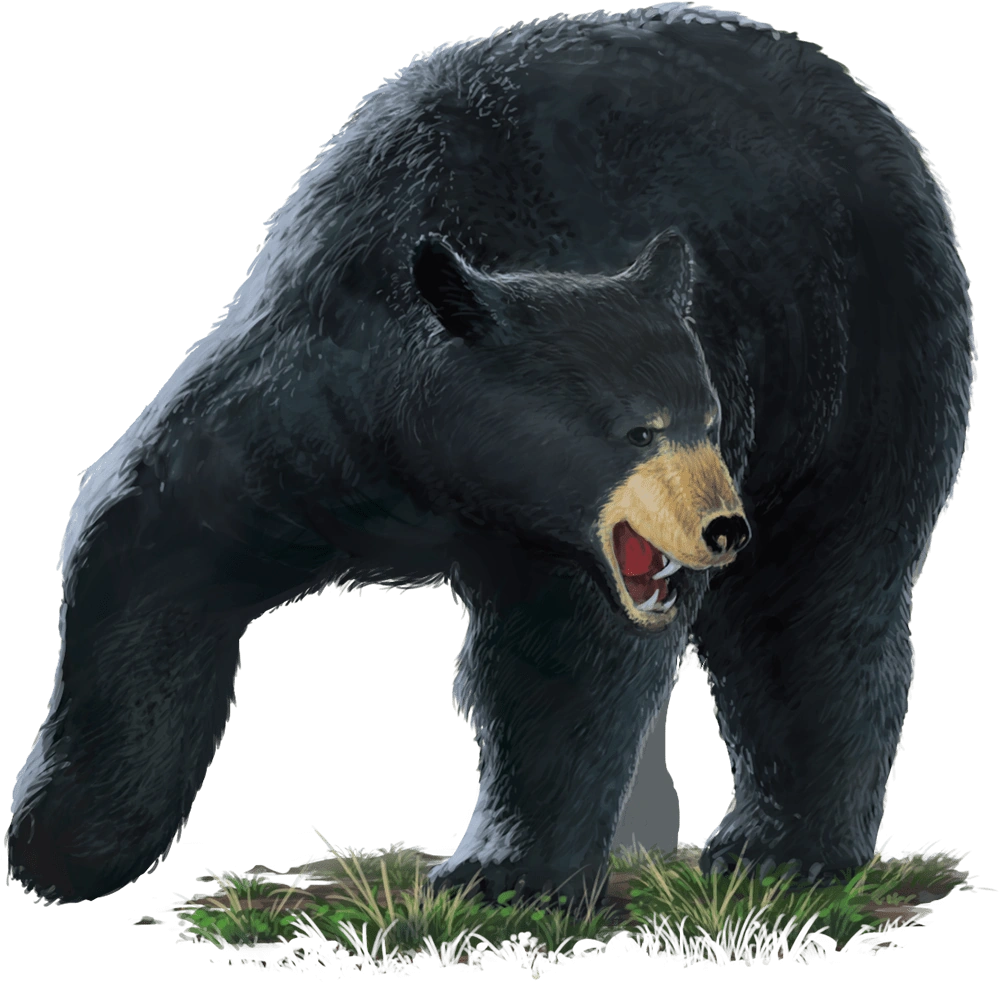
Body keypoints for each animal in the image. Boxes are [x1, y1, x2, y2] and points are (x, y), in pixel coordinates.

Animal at [9, 3, 973, 914]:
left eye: (706, 416)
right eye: (638, 430)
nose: (722, 527)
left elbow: (562, 660)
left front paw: (502, 875)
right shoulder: (310, 406)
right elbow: (156, 544)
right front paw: (62, 845)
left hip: (864, 353)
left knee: (813, 601)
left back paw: (785, 851)